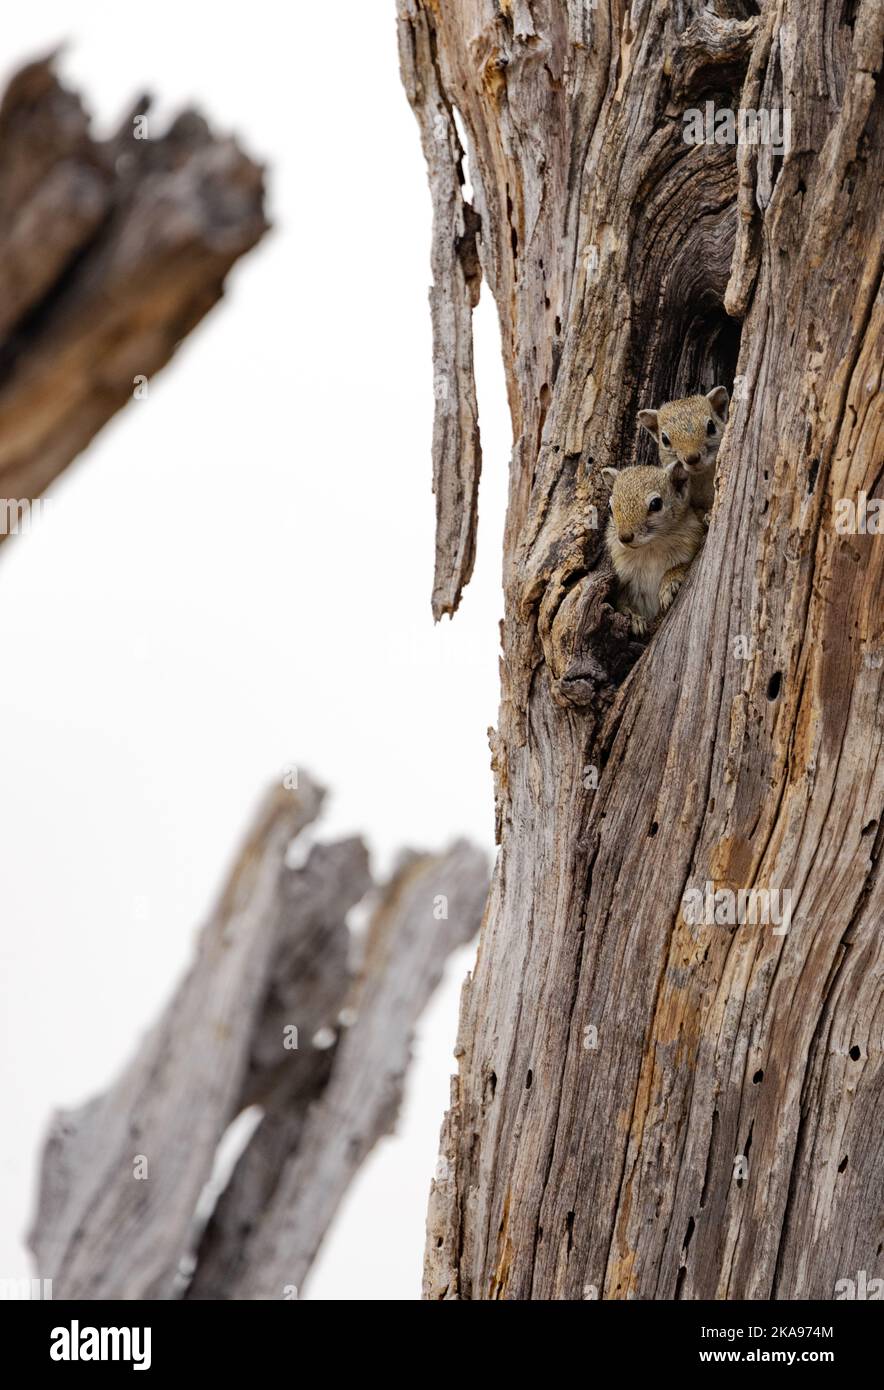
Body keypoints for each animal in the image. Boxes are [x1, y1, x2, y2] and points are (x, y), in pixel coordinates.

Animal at [602, 461, 705, 636]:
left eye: (656, 504)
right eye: (609, 507)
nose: (624, 537)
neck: (649, 548)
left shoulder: (692, 542)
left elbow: (683, 565)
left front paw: (668, 585)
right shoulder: (624, 579)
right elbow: (621, 604)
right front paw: (634, 618)